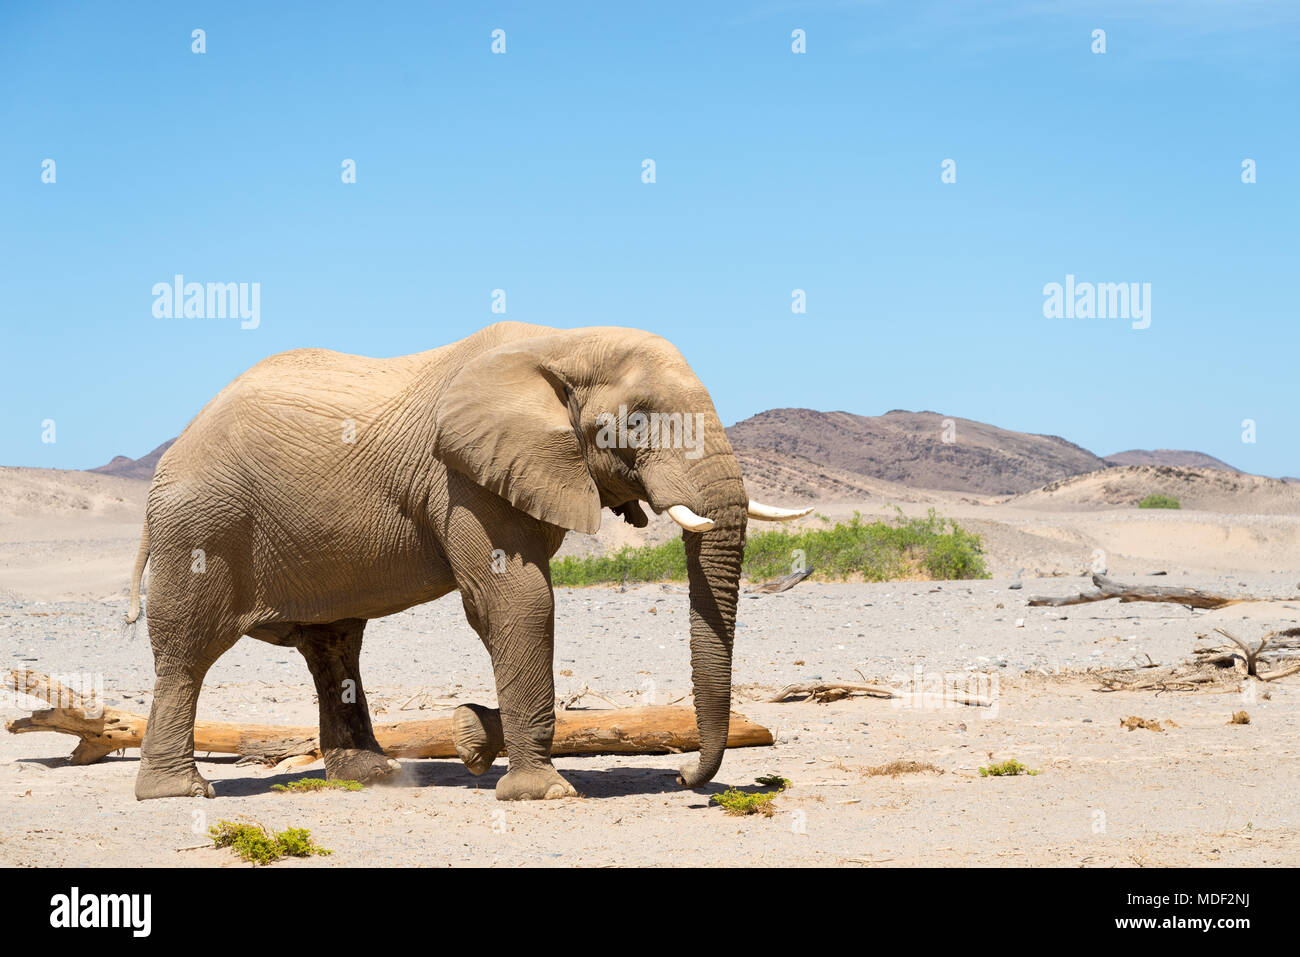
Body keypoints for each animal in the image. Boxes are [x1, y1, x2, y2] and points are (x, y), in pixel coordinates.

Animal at [125, 321, 810, 801]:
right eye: (636, 423)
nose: (683, 778)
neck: (563, 342)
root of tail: (173, 449)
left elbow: (499, 611)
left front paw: (473, 734)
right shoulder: (463, 478)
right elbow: (518, 601)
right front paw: (539, 790)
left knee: (333, 646)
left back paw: (371, 776)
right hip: (202, 527)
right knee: (188, 651)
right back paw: (180, 792)